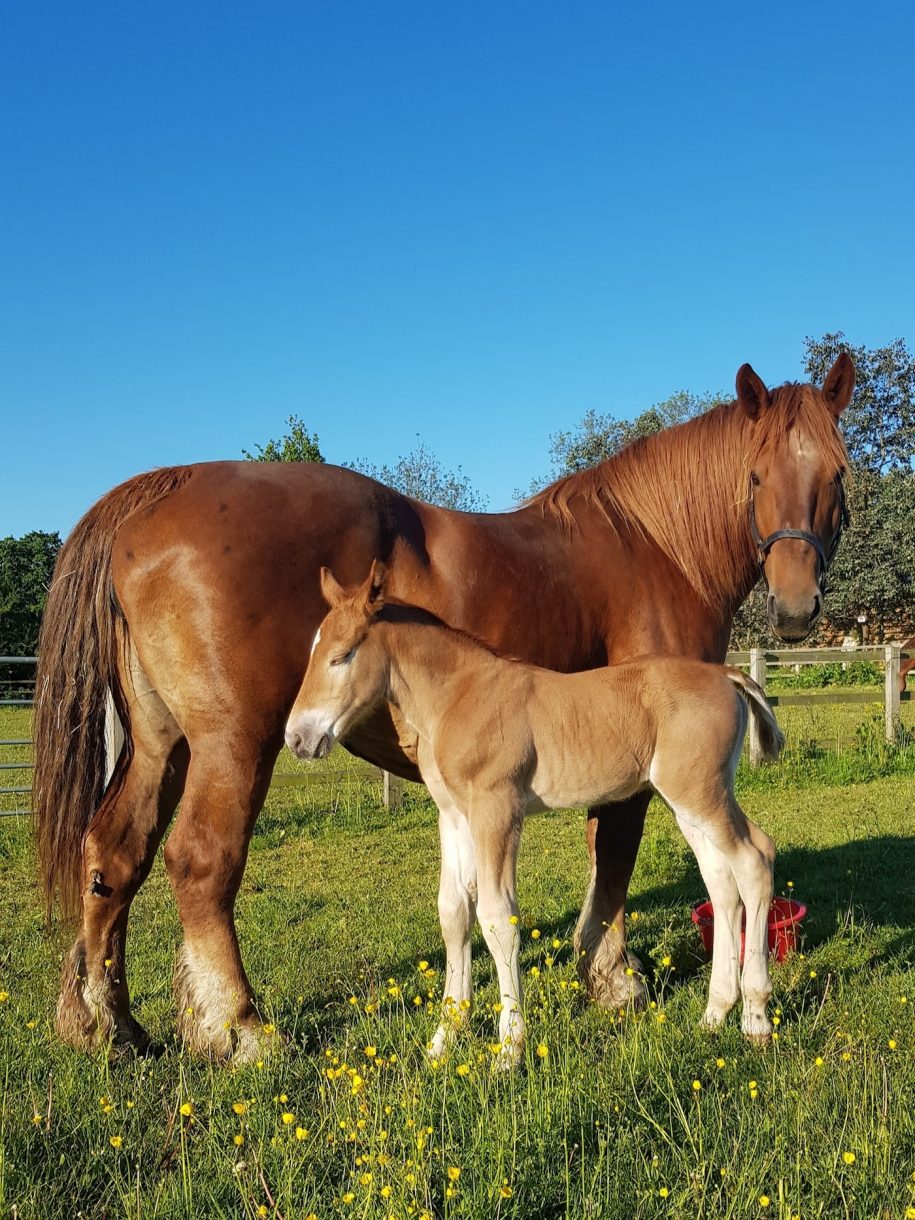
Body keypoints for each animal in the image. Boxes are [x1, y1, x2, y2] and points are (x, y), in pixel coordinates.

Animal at [286, 562, 784, 1060]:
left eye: (342, 656)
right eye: (312, 651)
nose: (297, 739)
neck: (458, 696)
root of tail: (728, 675)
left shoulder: (497, 809)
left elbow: (497, 917)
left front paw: (510, 1047)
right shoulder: (455, 817)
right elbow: (453, 912)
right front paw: (444, 1039)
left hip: (702, 793)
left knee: (755, 859)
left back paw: (755, 1019)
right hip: (686, 800)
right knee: (722, 883)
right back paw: (714, 1014)